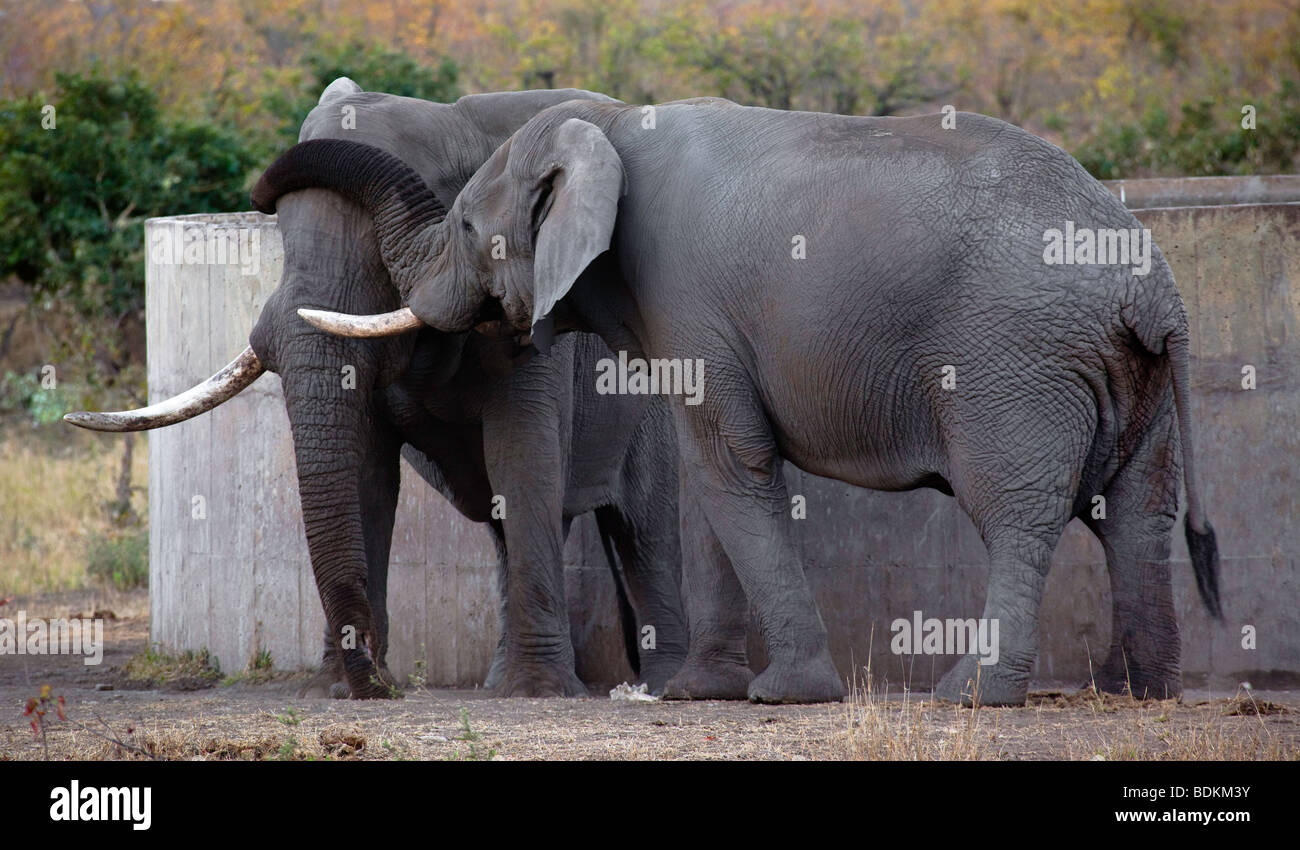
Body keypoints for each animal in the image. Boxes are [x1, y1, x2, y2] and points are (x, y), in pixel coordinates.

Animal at [65, 82, 691, 699]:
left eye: (378, 248)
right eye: (284, 235)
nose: (377, 675)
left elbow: (521, 459)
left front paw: (538, 693)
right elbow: (368, 474)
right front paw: (339, 688)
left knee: (648, 532)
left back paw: (656, 683)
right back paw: (499, 681)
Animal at [249, 98, 1223, 707]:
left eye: (458, 225)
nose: (262, 186)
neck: (606, 127)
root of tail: (1156, 296)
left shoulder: (685, 292)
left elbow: (728, 462)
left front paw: (781, 696)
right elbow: (715, 475)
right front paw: (700, 693)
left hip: (1014, 366)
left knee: (1017, 514)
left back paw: (974, 698)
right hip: (1125, 376)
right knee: (1136, 514)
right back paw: (1135, 692)